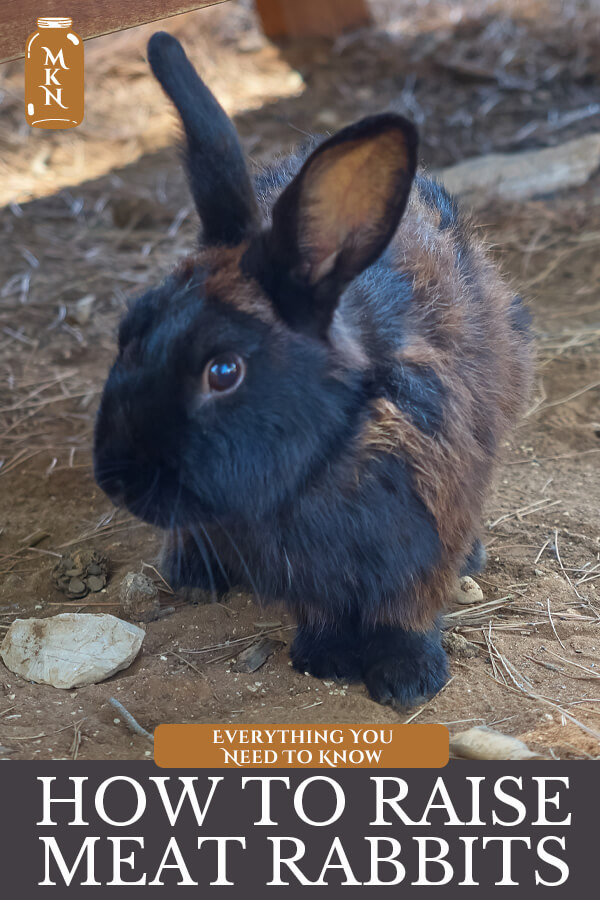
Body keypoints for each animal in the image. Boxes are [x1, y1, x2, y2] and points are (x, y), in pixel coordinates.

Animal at [93, 32, 533, 706]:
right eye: (128, 330)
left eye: (224, 370)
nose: (116, 481)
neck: (326, 458)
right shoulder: (301, 569)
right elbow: (322, 609)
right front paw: (324, 659)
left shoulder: (431, 524)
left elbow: (405, 609)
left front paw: (409, 679)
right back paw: (193, 572)